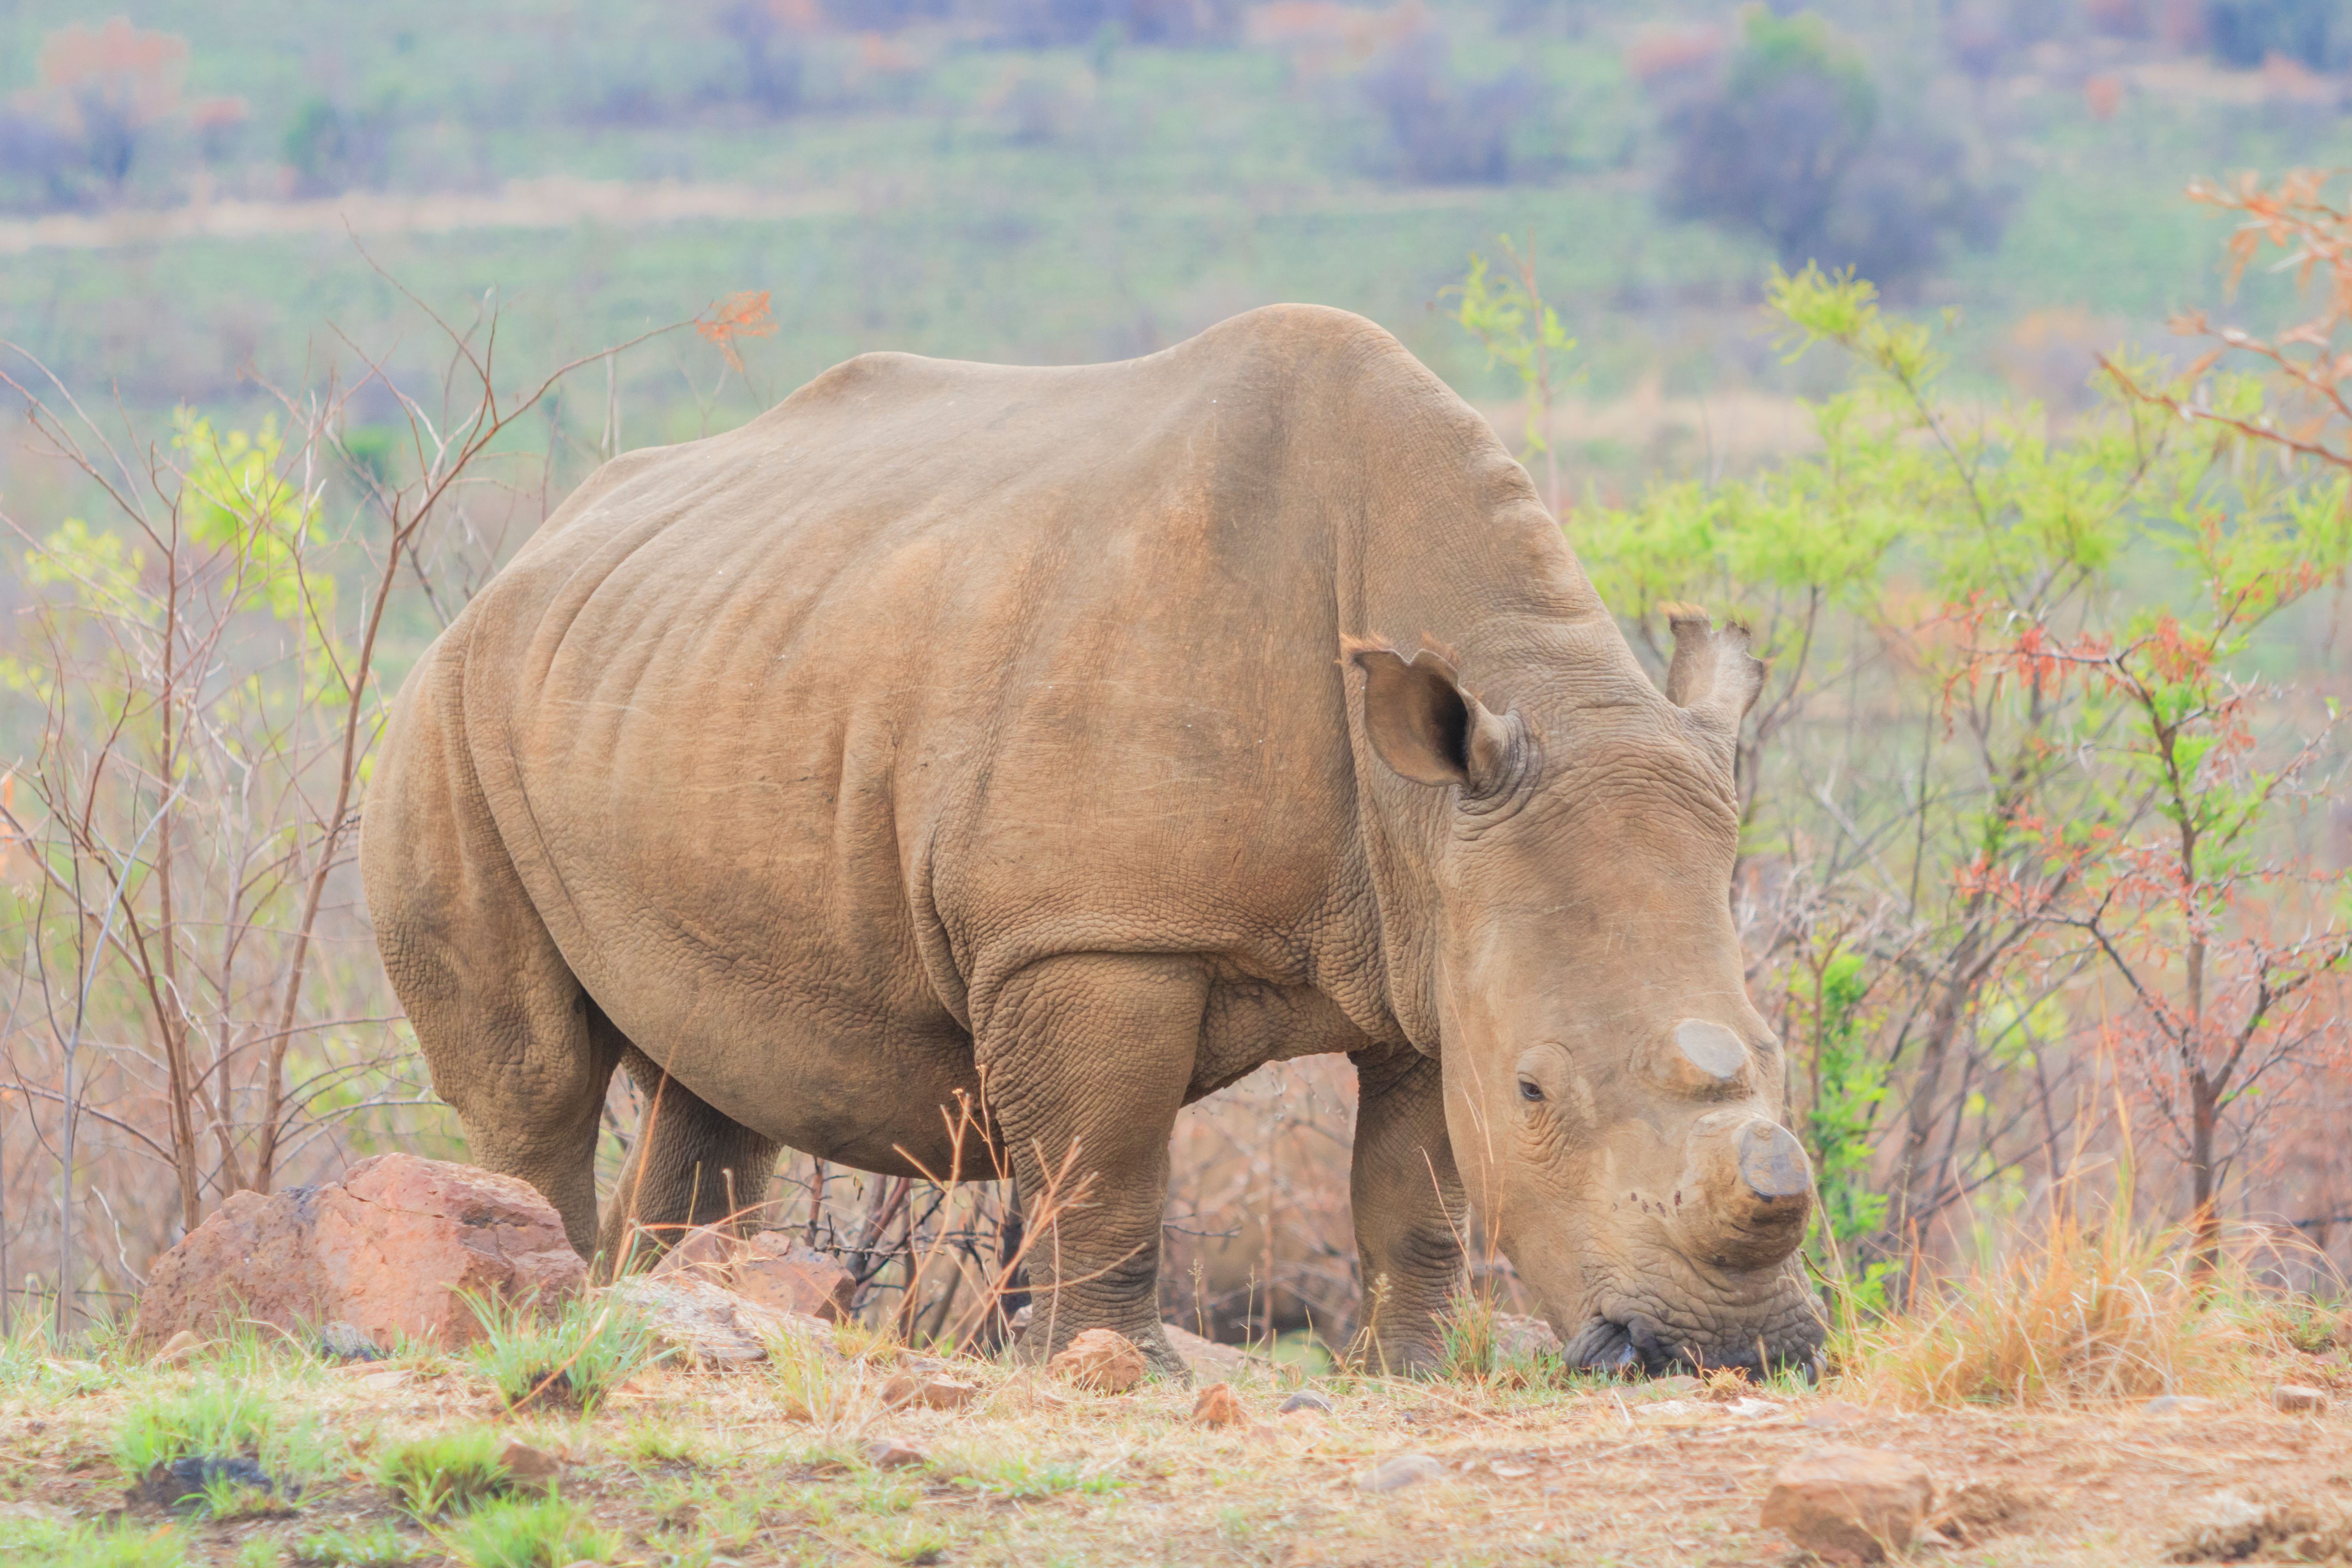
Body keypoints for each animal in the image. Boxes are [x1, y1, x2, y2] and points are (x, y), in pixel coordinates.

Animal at [361, 304, 1827, 1377]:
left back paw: (660, 1305)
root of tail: (517, 567)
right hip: (441, 713)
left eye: (1776, 1051)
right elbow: (1110, 1165)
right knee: (537, 1081)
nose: (1723, 1358)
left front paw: (1413, 1368)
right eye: (1536, 1090)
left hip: (688, 662)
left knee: (711, 1085)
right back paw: (528, 1312)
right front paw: (1118, 1367)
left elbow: (1415, 1188)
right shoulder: (1092, 936)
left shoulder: (1434, 927)